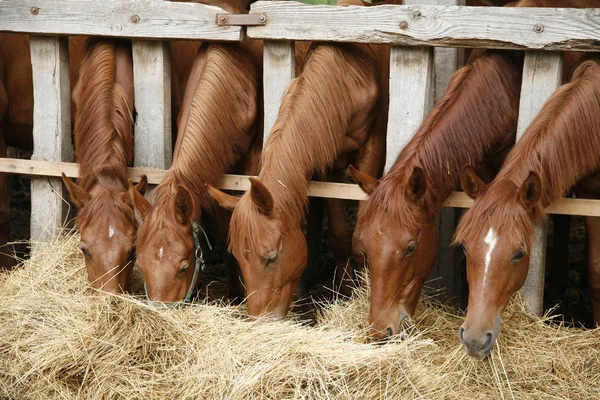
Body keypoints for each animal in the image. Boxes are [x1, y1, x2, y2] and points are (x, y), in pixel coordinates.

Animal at [209, 0, 396, 318]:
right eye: (238, 257)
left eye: (271, 257)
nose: (261, 319)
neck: (348, 77)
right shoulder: (326, 162)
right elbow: (338, 234)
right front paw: (345, 288)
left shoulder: (370, 154)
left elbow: (359, 235)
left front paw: (359, 289)